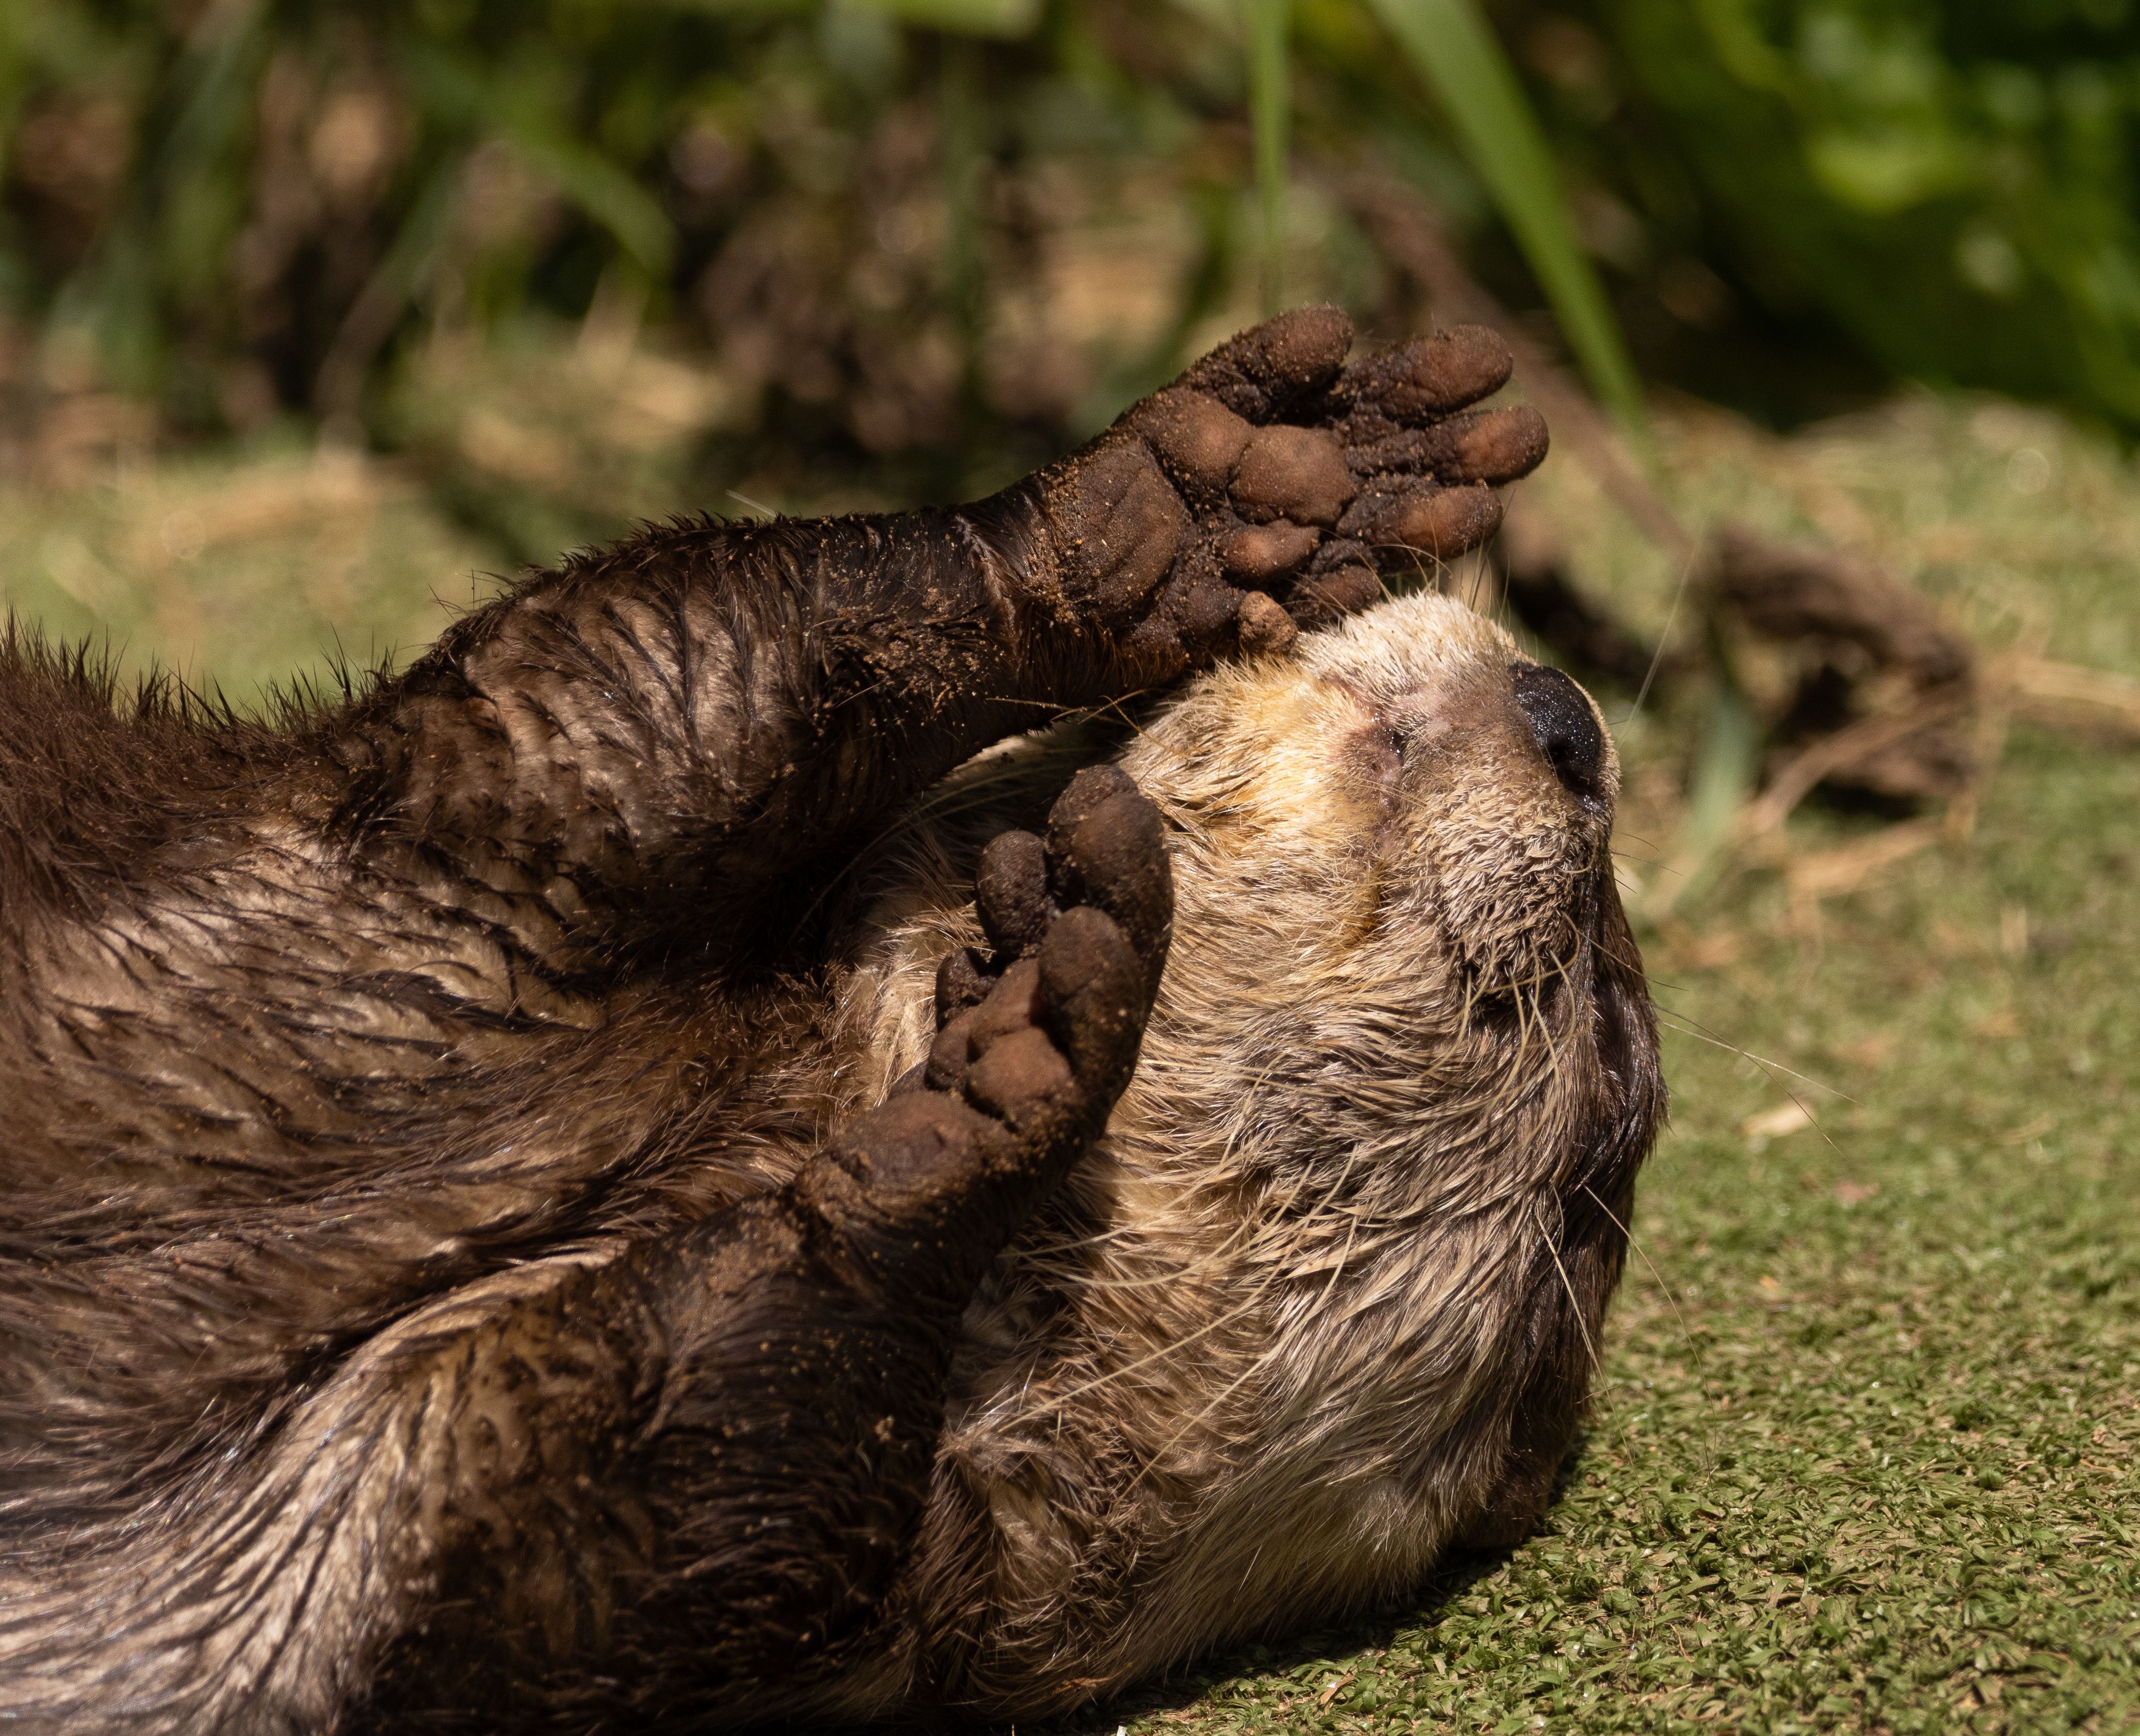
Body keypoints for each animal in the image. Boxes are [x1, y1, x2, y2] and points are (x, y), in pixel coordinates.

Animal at [0, 307, 1661, 1731]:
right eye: (1624, 1010)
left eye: (1609, 1083)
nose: (1570, 719)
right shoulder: (434, 847)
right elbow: (640, 680)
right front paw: (1198, 497)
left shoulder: (415, 1571)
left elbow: (688, 1462)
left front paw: (1007, 1060)